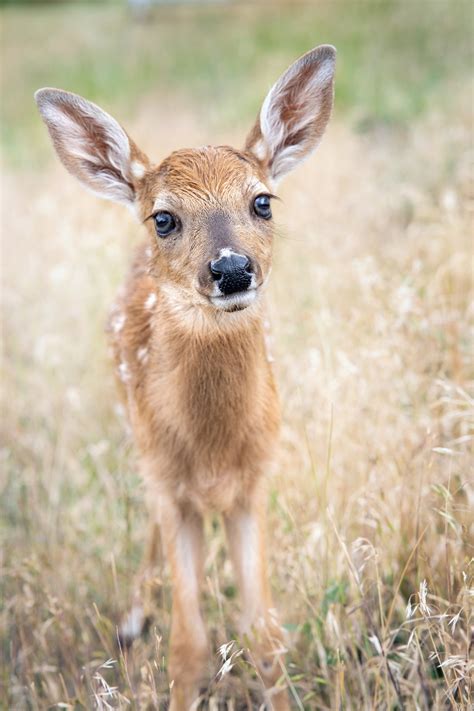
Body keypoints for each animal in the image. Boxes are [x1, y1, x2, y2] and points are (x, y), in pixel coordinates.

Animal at [35, 44, 336, 710]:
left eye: (263, 201)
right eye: (165, 218)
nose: (232, 269)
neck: (214, 450)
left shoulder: (254, 483)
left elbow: (266, 633)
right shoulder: (172, 487)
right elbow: (189, 647)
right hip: (139, 440)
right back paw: (131, 619)